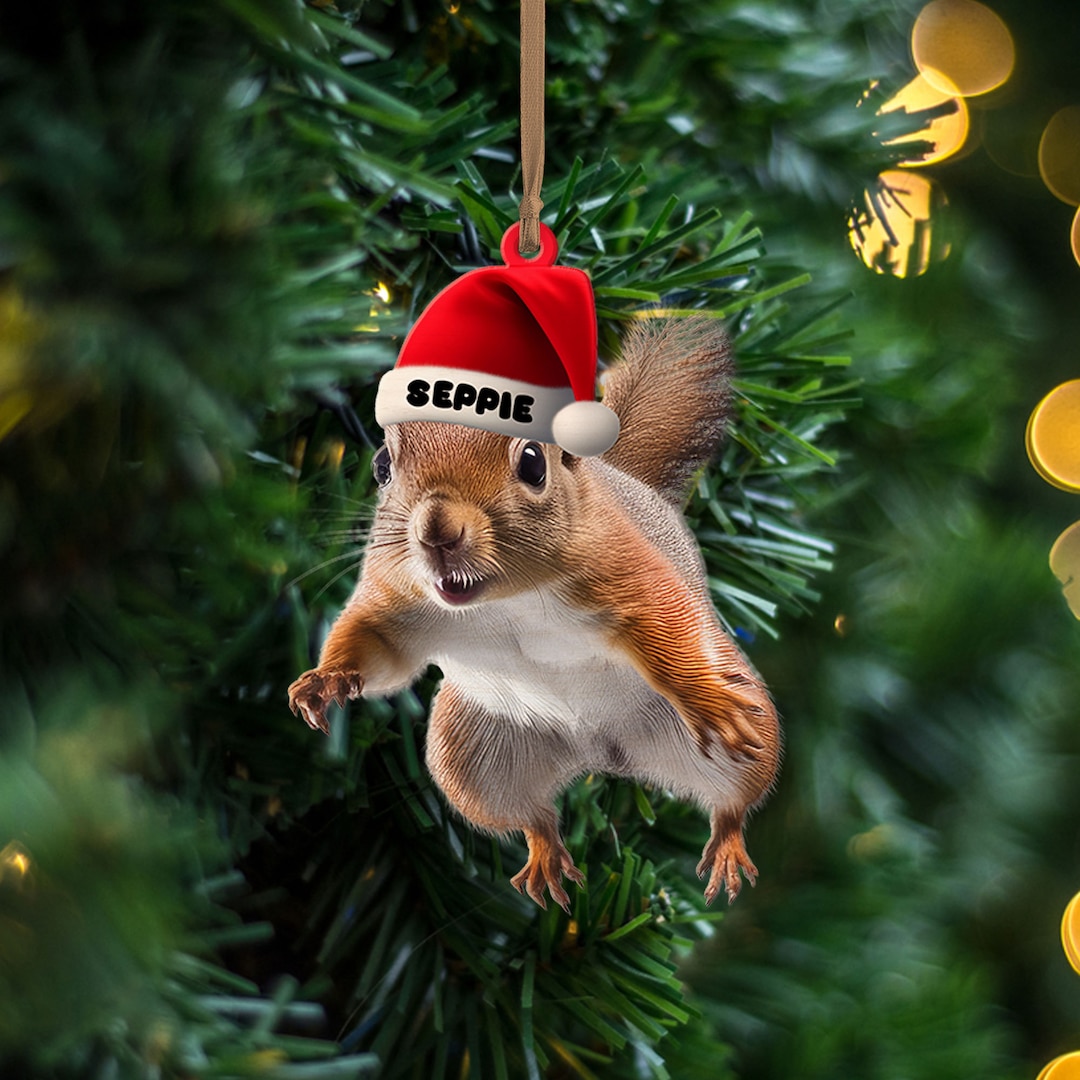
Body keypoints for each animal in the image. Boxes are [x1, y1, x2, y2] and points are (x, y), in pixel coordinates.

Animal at [289, 317, 781, 911]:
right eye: (382, 466)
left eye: (532, 463)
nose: (436, 532)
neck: (504, 600)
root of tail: (603, 751)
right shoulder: (397, 601)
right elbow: (376, 646)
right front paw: (326, 679)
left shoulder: (628, 575)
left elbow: (668, 629)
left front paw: (707, 700)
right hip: (473, 757)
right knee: (530, 816)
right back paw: (545, 856)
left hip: (739, 736)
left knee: (733, 800)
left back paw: (727, 841)